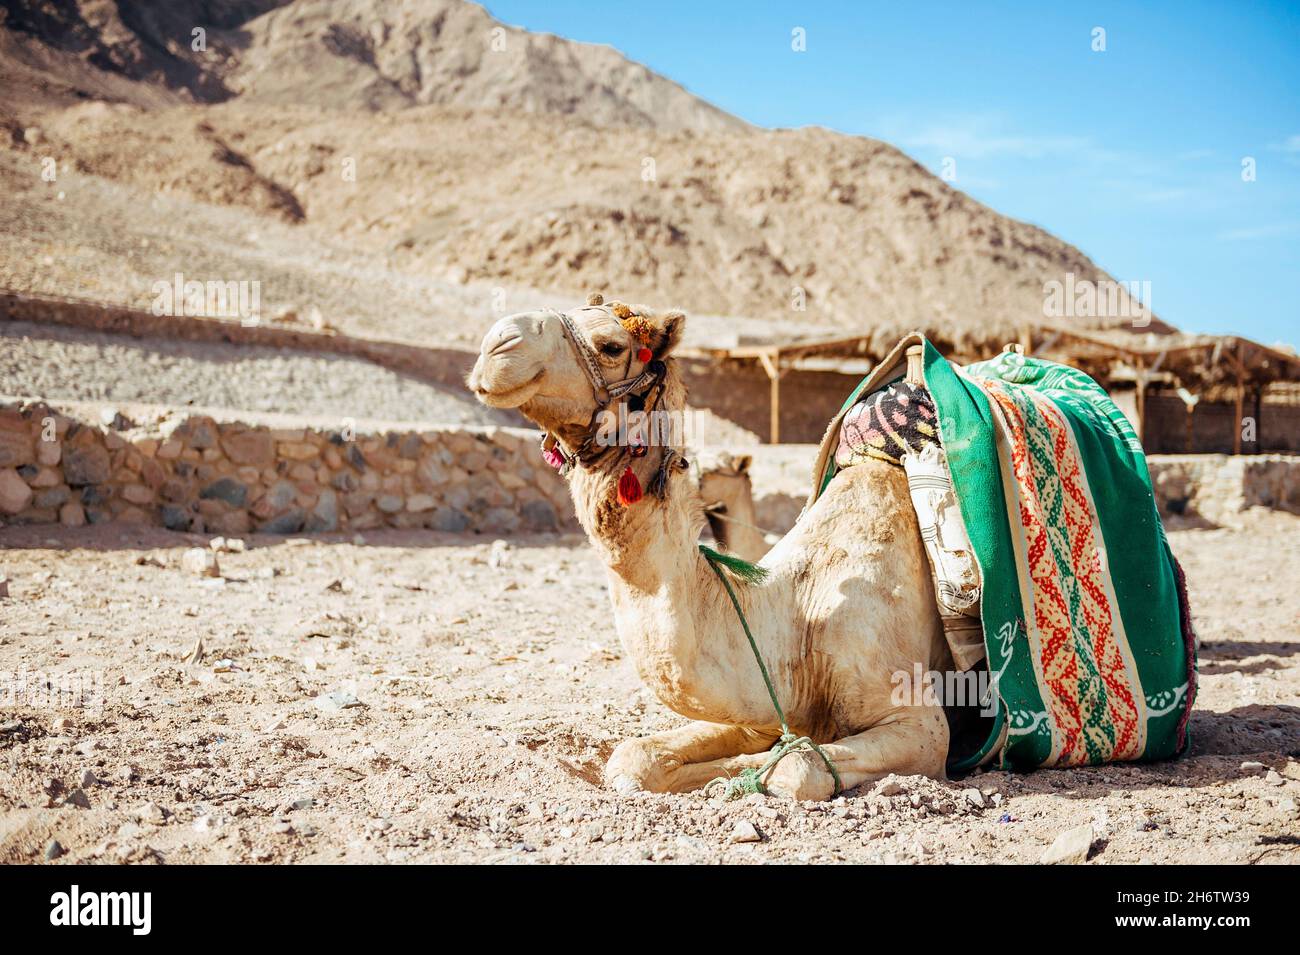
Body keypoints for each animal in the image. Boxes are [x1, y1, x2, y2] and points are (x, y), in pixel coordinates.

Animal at [470, 299, 950, 800]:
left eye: (611, 345)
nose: (498, 343)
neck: (798, 622)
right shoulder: (766, 709)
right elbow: (635, 756)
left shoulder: (920, 724)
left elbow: (794, 768)